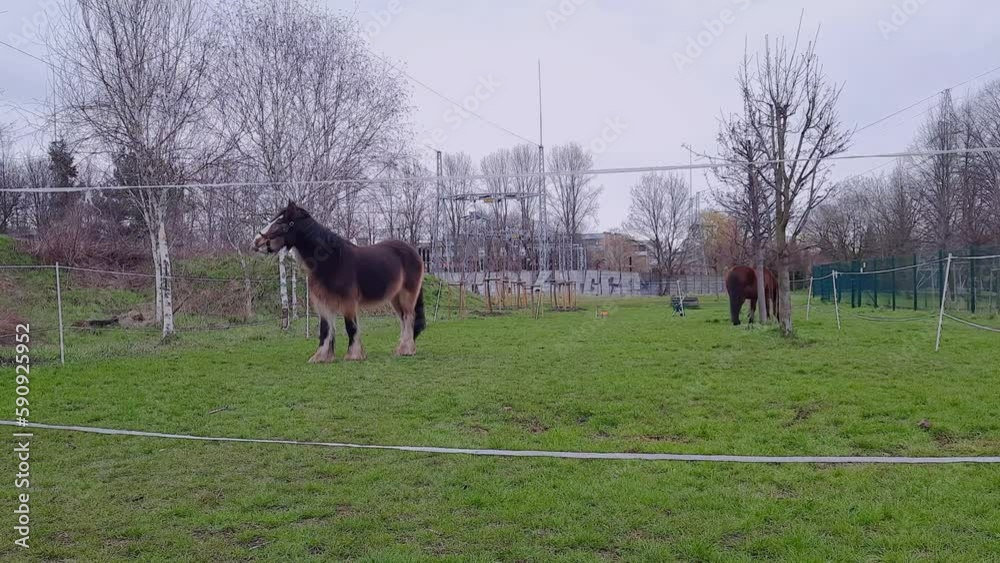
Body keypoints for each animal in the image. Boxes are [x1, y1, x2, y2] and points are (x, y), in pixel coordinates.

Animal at [253, 201, 426, 362]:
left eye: (280, 222)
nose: (256, 242)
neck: (332, 260)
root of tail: (414, 252)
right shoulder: (323, 302)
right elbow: (325, 329)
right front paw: (321, 357)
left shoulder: (348, 301)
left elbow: (350, 326)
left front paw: (353, 355)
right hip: (395, 297)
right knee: (403, 319)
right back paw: (401, 349)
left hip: (407, 294)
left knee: (409, 317)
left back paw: (406, 350)